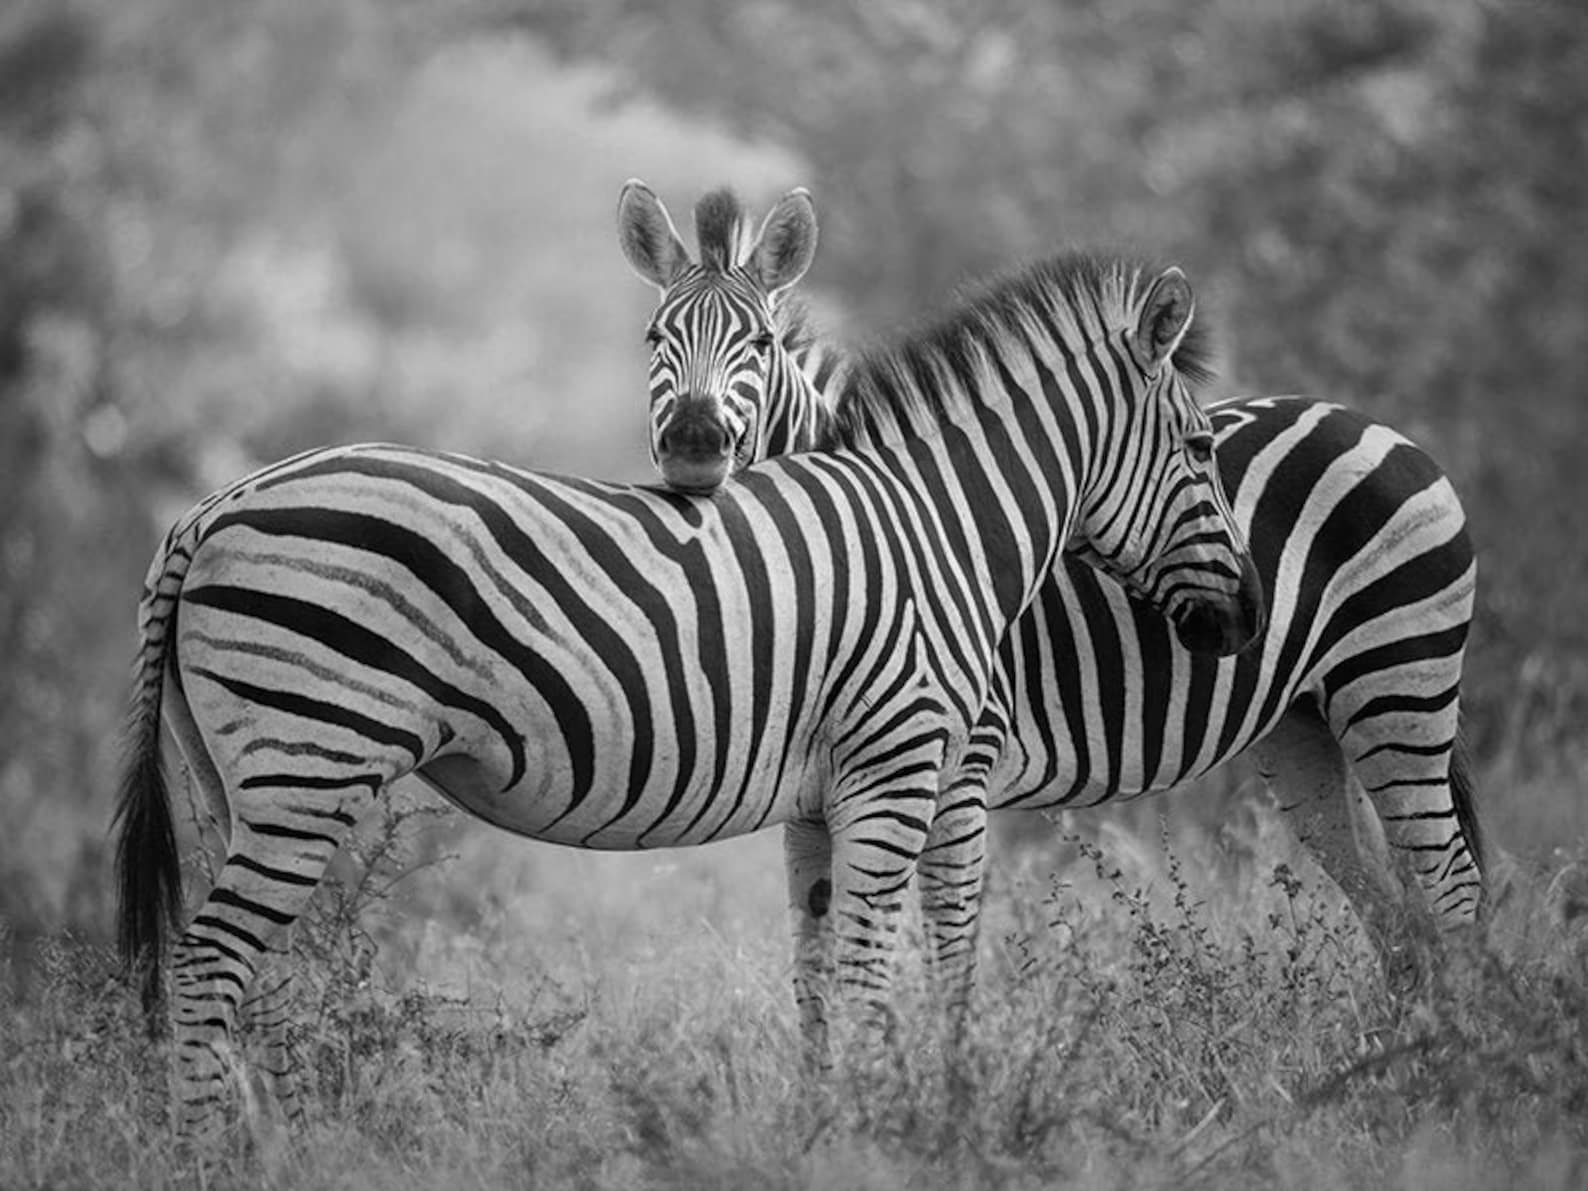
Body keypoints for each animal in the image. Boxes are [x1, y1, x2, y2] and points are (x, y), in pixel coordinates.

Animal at [114, 189, 1265, 1133]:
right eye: (1202, 449)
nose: (1245, 619)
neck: (939, 524)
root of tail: (213, 507)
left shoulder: (827, 796)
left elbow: (823, 975)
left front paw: (833, 1129)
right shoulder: (901, 768)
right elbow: (876, 971)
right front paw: (894, 1127)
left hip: (229, 772)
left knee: (232, 970)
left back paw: (257, 1141)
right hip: (308, 761)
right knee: (210, 961)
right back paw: (212, 1156)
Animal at [624, 186, 1485, 1042]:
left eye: (760, 343)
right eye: (655, 338)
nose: (694, 445)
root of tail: (1378, 426)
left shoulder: (957, 765)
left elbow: (943, 954)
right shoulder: (815, 790)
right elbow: (817, 970)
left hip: (1397, 682)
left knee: (1451, 887)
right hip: (1305, 727)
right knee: (1395, 909)